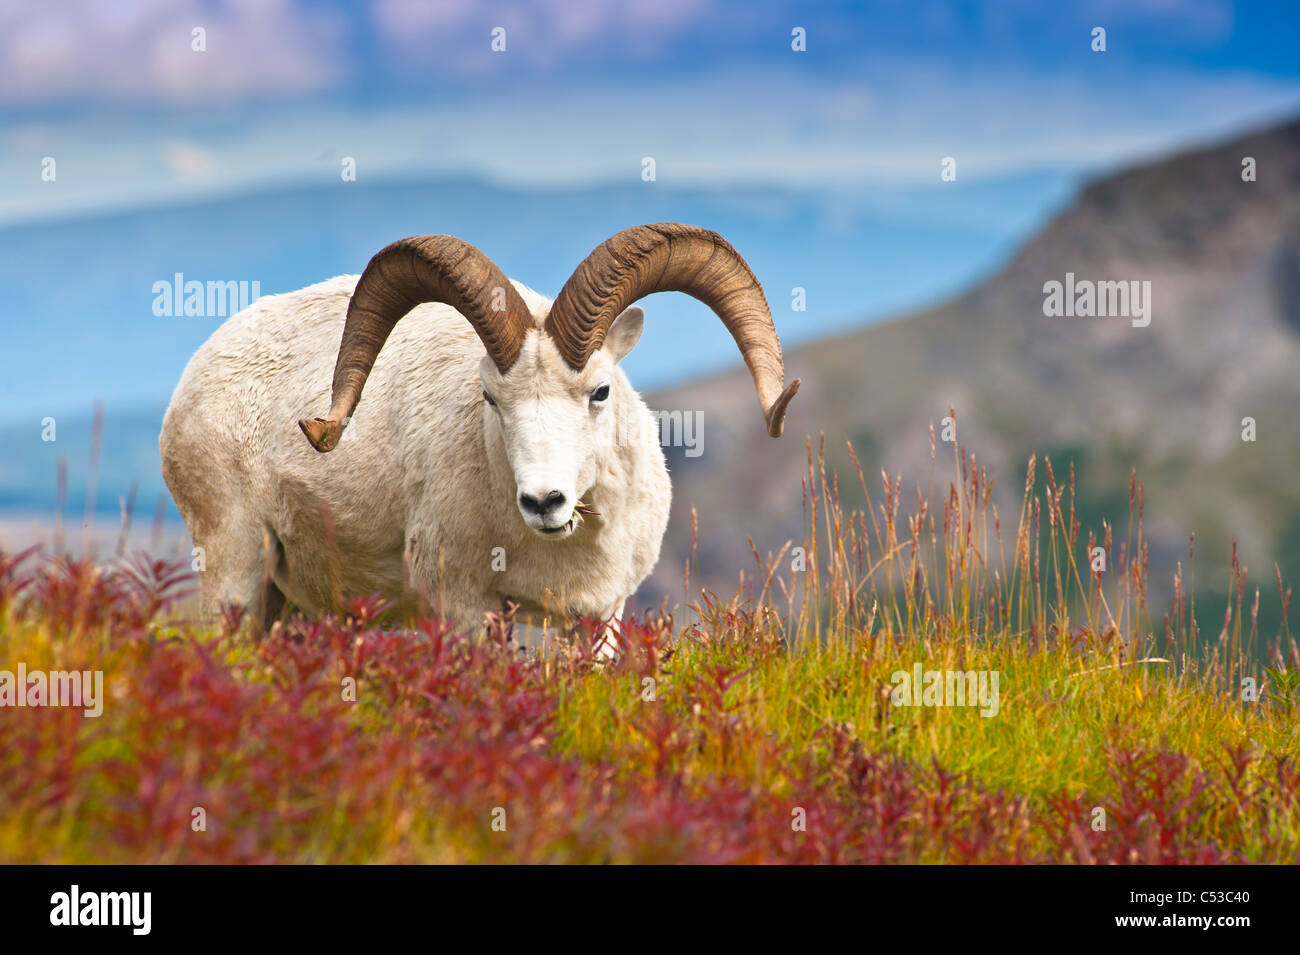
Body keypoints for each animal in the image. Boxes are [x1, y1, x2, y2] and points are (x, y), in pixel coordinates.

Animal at [160, 223, 800, 652]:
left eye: (599, 391)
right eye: (491, 396)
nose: (544, 502)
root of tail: (193, 378)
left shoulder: (599, 618)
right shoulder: (467, 608)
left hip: (291, 603)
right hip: (235, 567)